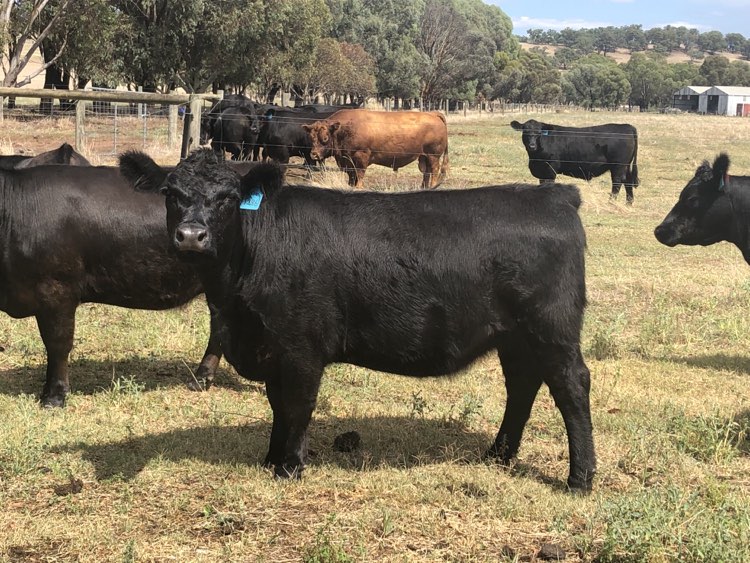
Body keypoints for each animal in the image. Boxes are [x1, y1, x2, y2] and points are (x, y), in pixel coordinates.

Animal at [126, 148, 595, 491]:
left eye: (227, 197)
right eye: (170, 193)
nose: (191, 236)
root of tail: (555, 196)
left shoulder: (301, 349)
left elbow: (297, 405)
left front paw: (290, 467)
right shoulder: (274, 348)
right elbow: (278, 405)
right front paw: (270, 460)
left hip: (552, 330)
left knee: (571, 387)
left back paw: (580, 477)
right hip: (515, 337)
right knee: (522, 386)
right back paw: (499, 455)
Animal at [303, 110, 449, 189]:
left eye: (325, 138)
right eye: (310, 137)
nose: (314, 154)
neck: (345, 129)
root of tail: (433, 114)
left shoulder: (361, 157)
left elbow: (360, 174)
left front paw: (359, 187)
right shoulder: (347, 160)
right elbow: (352, 176)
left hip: (433, 156)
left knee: (434, 171)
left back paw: (432, 186)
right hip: (423, 156)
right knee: (426, 173)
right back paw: (423, 187)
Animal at [510, 119, 639, 204]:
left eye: (539, 133)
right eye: (525, 131)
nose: (532, 146)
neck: (534, 158)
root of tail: (627, 126)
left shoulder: (550, 170)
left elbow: (548, 183)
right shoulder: (542, 170)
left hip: (618, 166)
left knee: (617, 182)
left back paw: (611, 202)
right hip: (626, 166)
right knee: (628, 181)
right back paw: (629, 202)